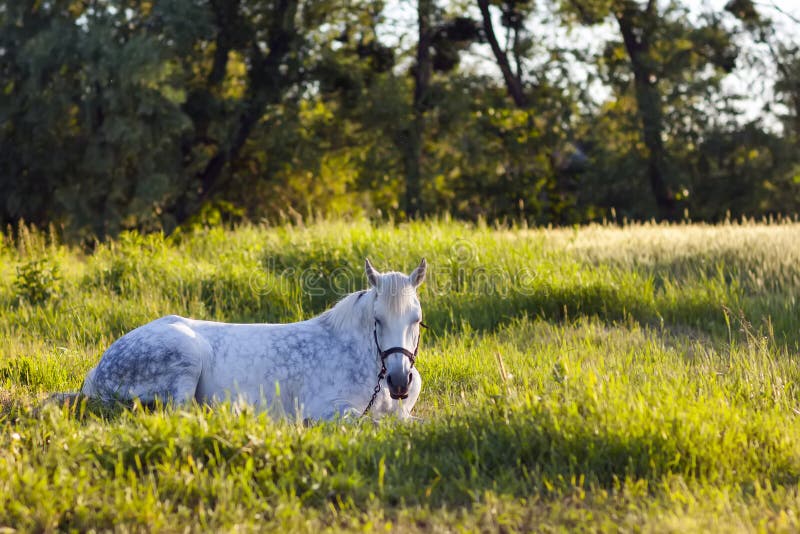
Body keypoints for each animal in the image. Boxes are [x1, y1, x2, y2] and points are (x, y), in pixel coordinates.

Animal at [80, 258, 427, 421]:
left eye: (416, 319)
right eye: (377, 320)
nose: (399, 381)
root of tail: (97, 372)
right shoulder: (328, 412)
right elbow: (373, 423)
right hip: (185, 356)